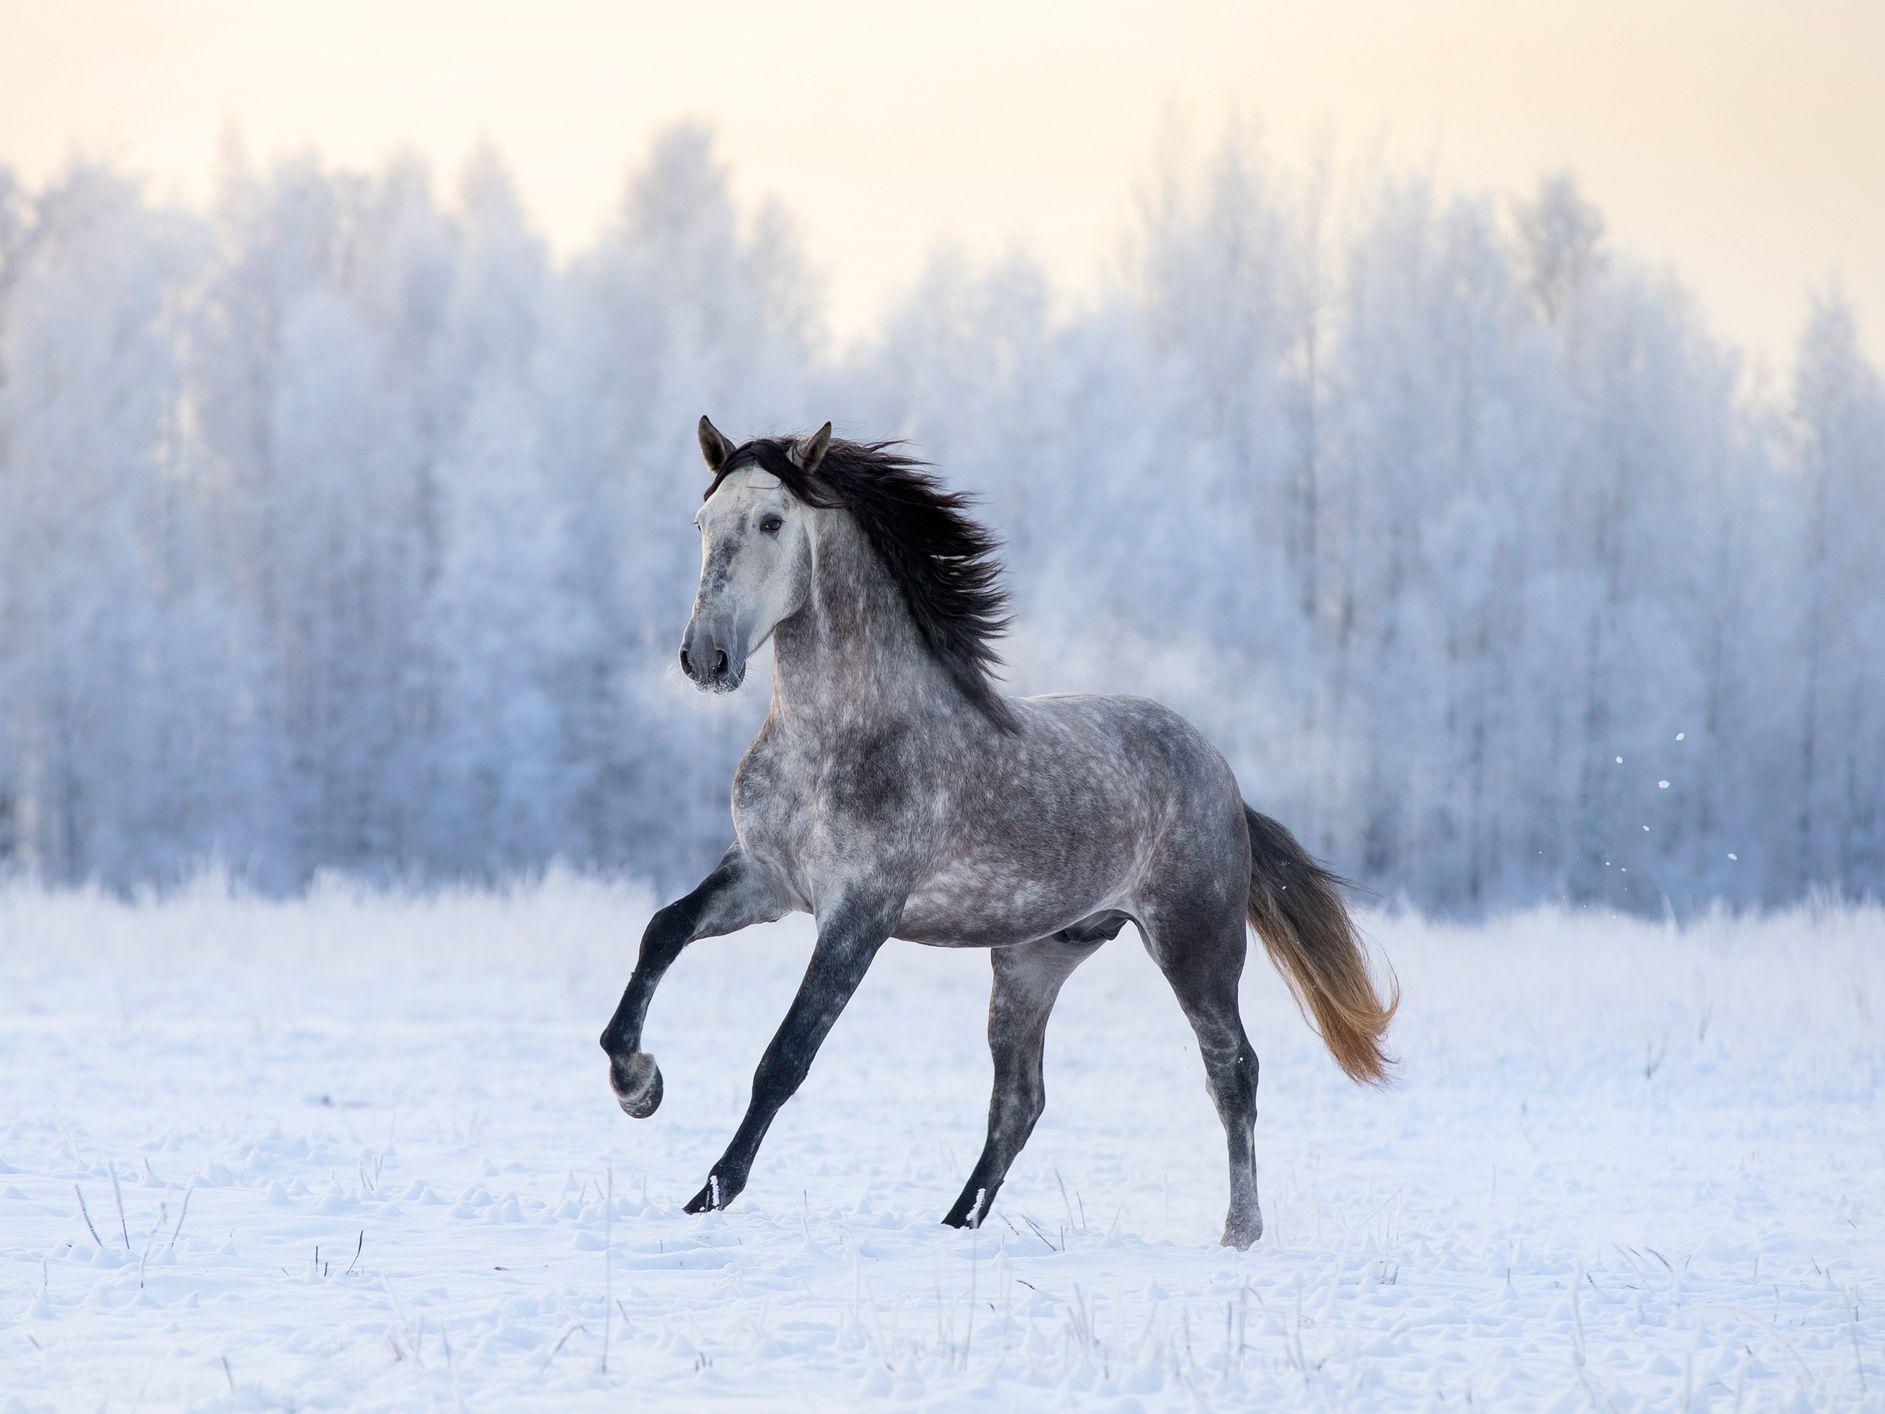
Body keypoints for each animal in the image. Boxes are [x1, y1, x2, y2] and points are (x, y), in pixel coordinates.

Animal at [598, 417, 1398, 1247]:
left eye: (771, 522)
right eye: (702, 523)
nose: (705, 657)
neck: (840, 738)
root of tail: (1224, 780)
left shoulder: (858, 916)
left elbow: (785, 1056)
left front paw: (708, 1195)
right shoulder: (763, 879)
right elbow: (661, 931)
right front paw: (638, 1085)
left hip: (1194, 944)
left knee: (1230, 1070)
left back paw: (1238, 1234)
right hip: (1031, 960)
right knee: (1019, 1101)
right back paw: (958, 1224)